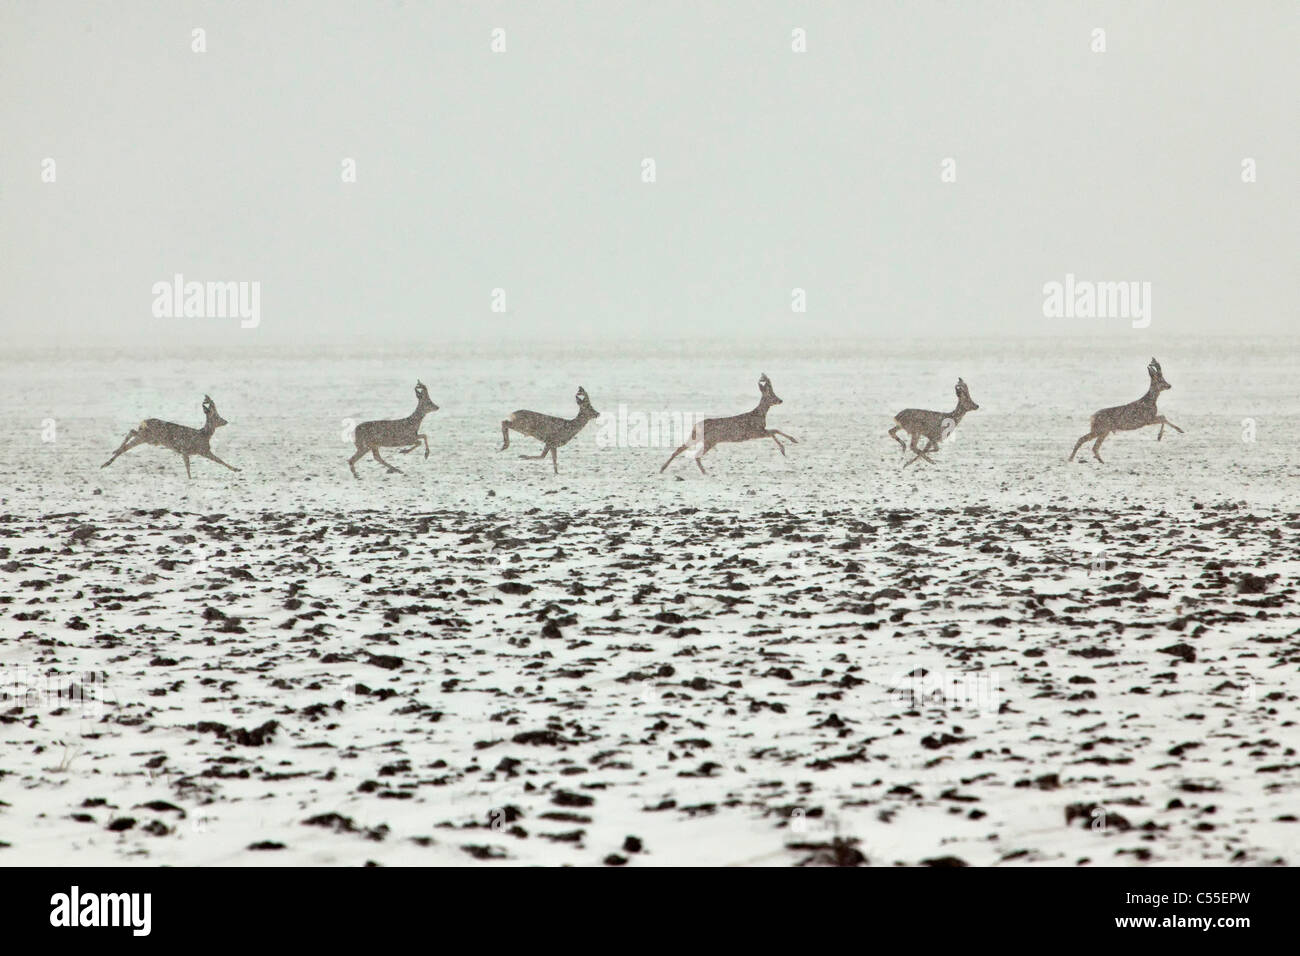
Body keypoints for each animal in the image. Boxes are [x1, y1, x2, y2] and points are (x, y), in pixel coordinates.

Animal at [101, 394, 239, 478]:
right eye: (217, 417)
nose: (226, 421)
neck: (204, 435)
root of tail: (143, 422)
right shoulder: (194, 450)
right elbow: (217, 461)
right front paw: (237, 469)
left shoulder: (190, 451)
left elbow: (190, 465)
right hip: (147, 437)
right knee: (127, 445)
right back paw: (106, 463)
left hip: (149, 438)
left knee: (131, 431)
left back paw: (114, 451)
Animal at [660, 373, 797, 475]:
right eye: (771, 394)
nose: (780, 400)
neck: (759, 415)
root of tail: (697, 425)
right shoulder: (755, 432)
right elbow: (773, 432)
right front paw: (784, 449)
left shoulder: (758, 431)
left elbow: (775, 430)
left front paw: (793, 441)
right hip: (710, 440)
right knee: (695, 455)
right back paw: (704, 472)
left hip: (698, 437)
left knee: (681, 449)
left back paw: (663, 469)